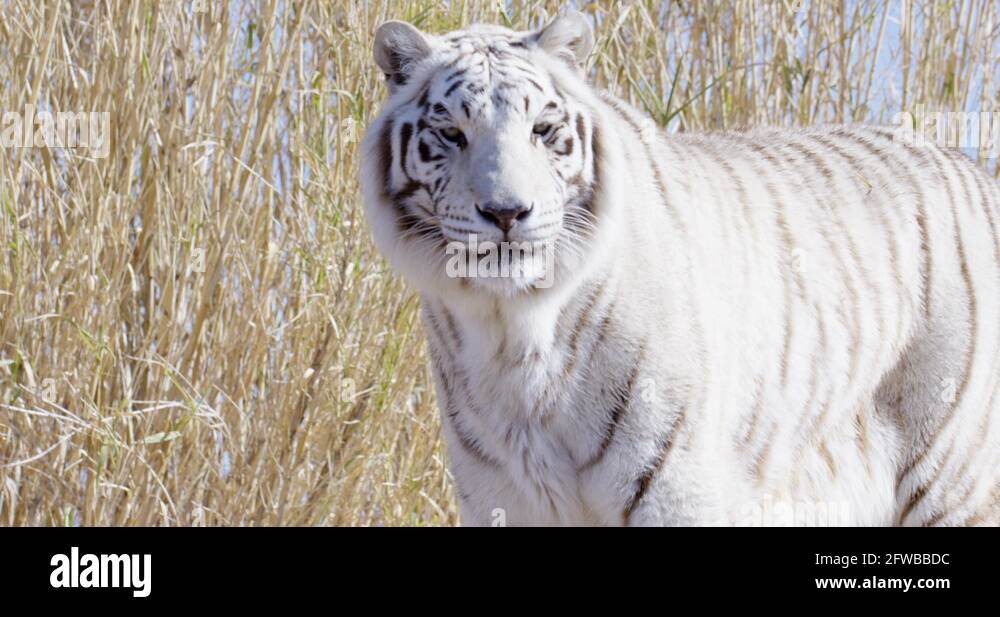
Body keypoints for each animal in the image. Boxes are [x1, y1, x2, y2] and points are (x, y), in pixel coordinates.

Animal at [360, 11, 1000, 526]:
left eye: (542, 130)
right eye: (451, 133)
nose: (507, 212)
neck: (513, 331)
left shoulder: (672, 487)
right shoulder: (502, 496)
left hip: (955, 479)